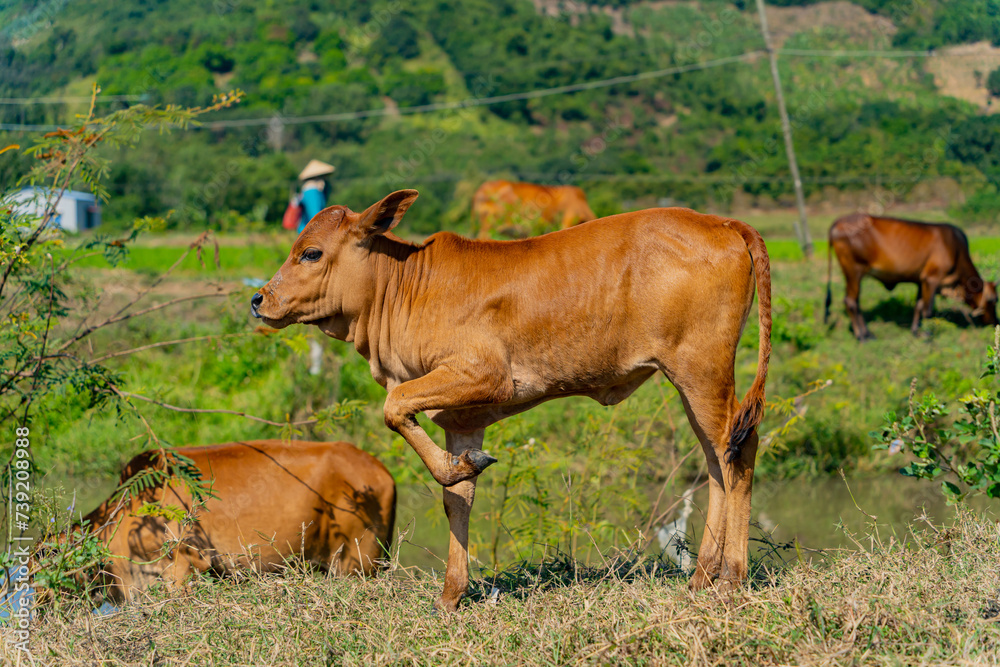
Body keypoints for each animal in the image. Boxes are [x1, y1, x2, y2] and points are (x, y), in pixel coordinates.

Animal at [251, 190, 772, 612]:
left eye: (311, 253)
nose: (258, 299)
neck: (402, 290)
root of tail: (723, 222)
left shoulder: (483, 375)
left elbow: (394, 407)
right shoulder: (462, 418)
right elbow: (456, 496)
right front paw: (451, 594)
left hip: (702, 371)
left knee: (738, 451)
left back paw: (731, 580)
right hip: (692, 383)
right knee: (716, 459)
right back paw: (701, 577)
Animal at [825, 213, 997, 341]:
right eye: (993, 300)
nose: (996, 322)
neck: (957, 250)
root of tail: (838, 222)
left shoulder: (922, 281)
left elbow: (919, 305)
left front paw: (916, 331)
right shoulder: (932, 279)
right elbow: (928, 310)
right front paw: (927, 334)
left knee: (855, 302)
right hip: (853, 271)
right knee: (851, 301)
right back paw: (863, 335)